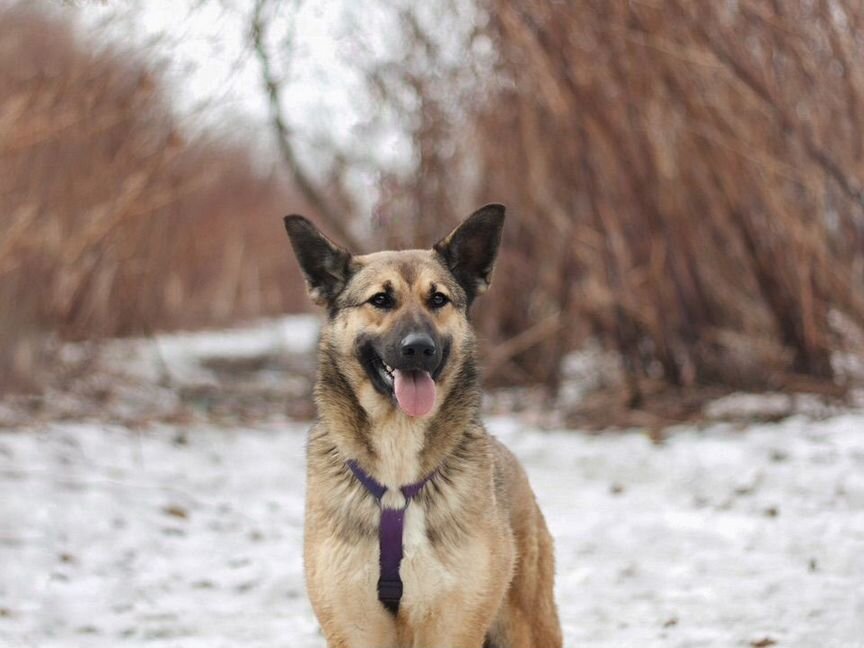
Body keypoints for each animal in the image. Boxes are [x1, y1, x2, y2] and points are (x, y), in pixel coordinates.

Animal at [284, 204, 564, 648]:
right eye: (381, 300)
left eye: (438, 300)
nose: (419, 348)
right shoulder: (355, 626)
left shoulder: (452, 624)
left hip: (526, 625)